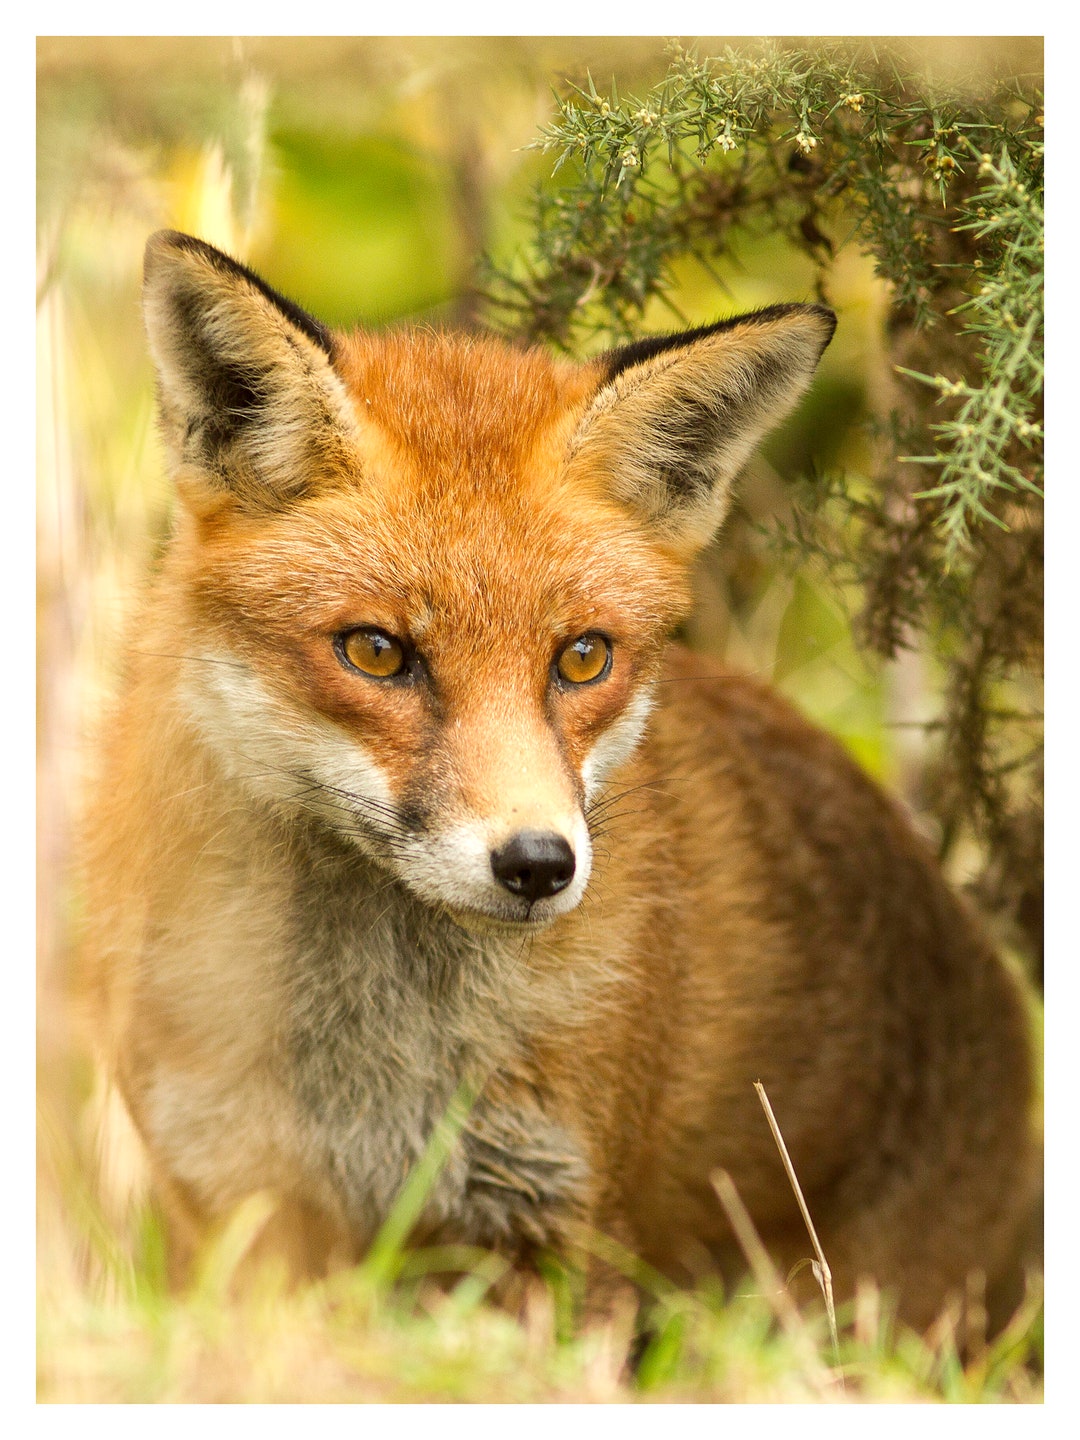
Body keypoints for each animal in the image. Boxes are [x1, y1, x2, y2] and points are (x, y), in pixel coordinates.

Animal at [80, 228, 1040, 1334]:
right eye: (375, 652)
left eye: (583, 657)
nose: (537, 865)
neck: (368, 1055)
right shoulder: (238, 1208)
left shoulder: (563, 1221)